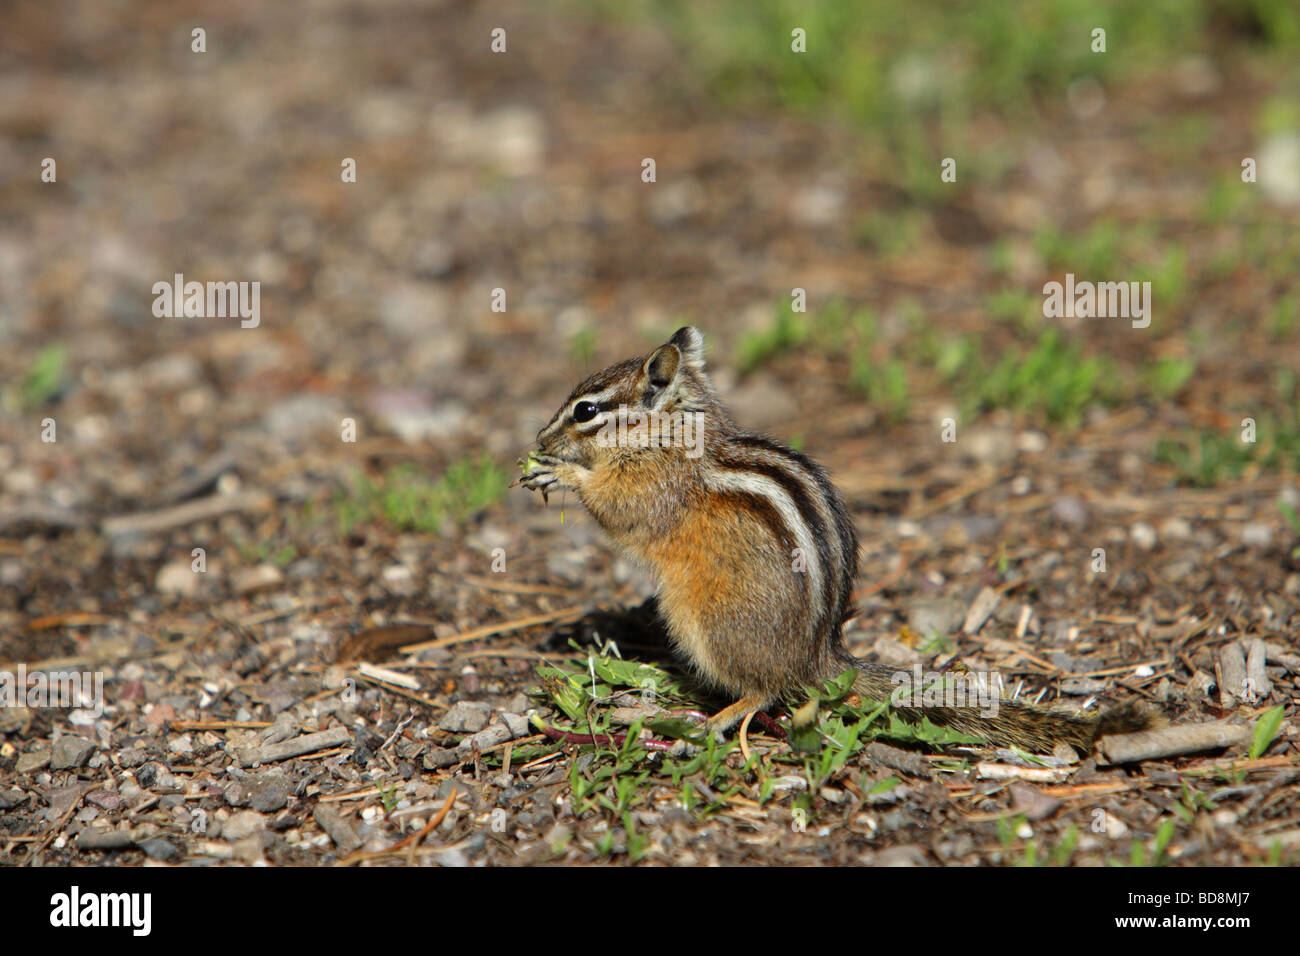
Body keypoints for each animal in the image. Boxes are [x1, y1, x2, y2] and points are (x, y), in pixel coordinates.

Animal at [519, 326, 1156, 752]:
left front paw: (561, 474)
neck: (673, 434)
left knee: (765, 690)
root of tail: (818, 657)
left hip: (708, 624)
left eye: (586, 410)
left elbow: (618, 510)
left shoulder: (655, 489)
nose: (540, 438)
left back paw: (712, 721)